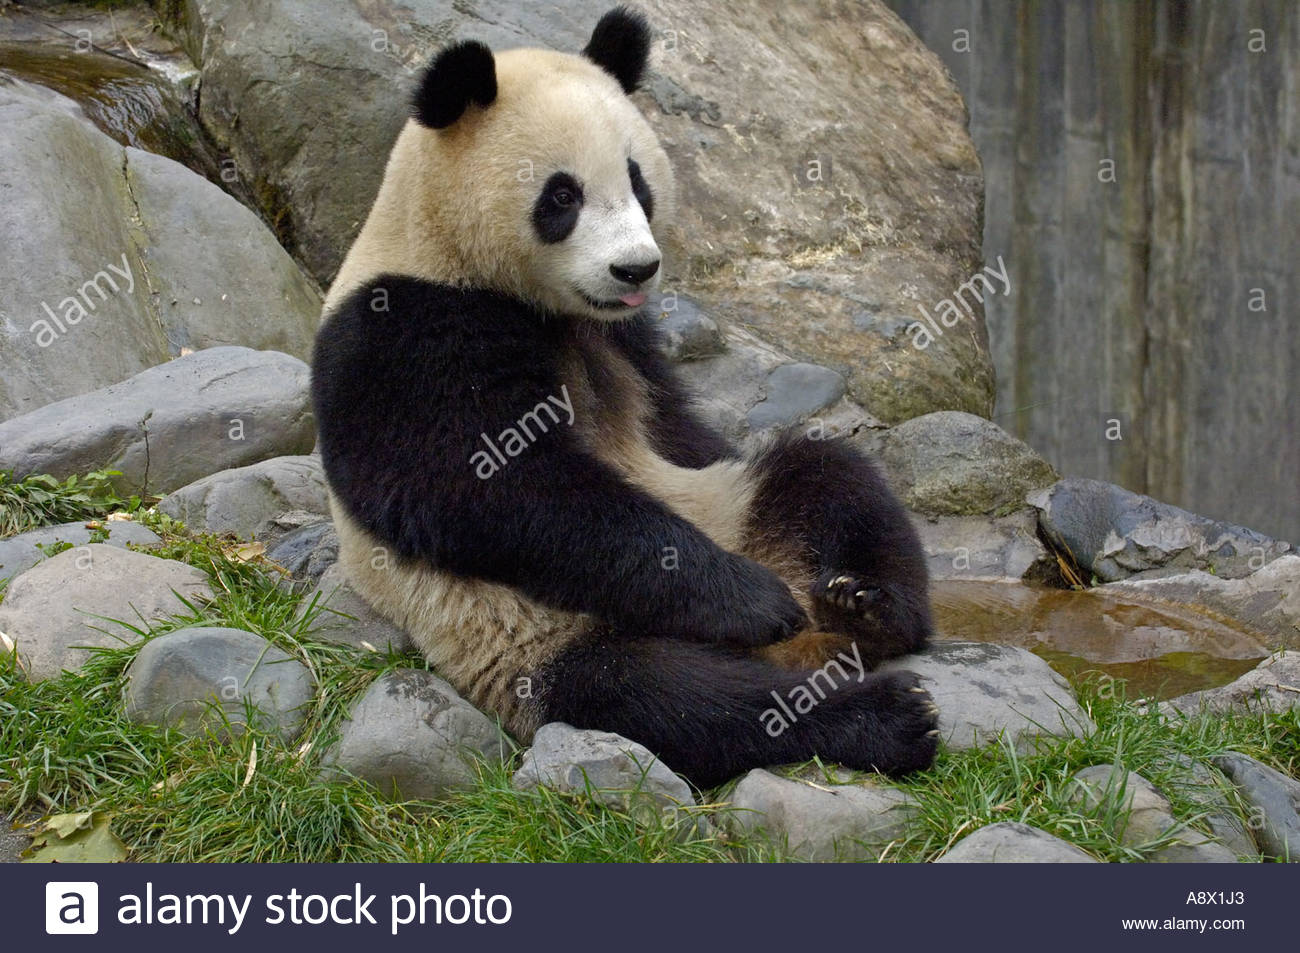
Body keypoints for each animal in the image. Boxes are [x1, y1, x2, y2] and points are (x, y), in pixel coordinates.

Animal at [311, 7, 940, 788]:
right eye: (562, 196)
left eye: (638, 181)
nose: (636, 267)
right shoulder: (398, 332)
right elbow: (484, 488)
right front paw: (746, 599)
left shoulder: (628, 343)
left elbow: (677, 426)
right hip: (535, 635)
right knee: (669, 696)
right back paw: (872, 709)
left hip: (736, 504)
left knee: (830, 478)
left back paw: (864, 606)